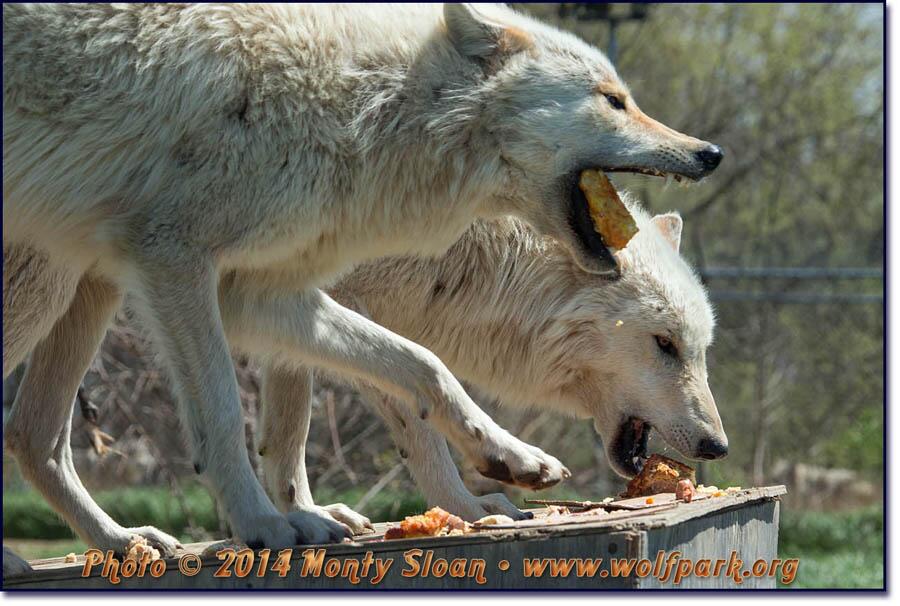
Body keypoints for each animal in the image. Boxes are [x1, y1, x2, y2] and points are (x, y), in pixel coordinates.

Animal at [3, 3, 722, 554]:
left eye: (697, 350)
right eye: (613, 100)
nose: (709, 152)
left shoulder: (254, 292)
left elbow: (405, 374)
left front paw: (501, 460)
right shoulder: (180, 262)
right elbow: (232, 414)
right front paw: (270, 523)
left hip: (90, 288)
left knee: (34, 434)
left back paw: (123, 541)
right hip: (47, 290)